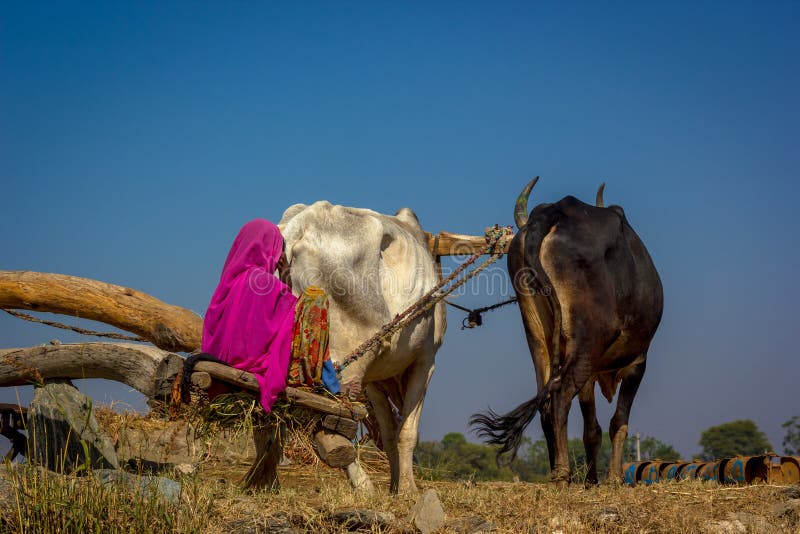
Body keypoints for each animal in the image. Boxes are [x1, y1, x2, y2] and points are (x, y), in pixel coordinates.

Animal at [278, 201, 446, 494]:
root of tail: (300, 227)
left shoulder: (375, 379)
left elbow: (389, 433)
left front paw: (395, 486)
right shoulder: (426, 360)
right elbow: (406, 431)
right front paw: (408, 489)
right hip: (348, 359)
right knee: (332, 419)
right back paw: (362, 482)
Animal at [470, 178, 663, 484]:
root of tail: (553, 211)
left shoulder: (590, 373)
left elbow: (592, 430)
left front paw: (592, 481)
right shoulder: (637, 361)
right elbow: (618, 423)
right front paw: (614, 479)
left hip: (539, 339)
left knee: (546, 400)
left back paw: (557, 470)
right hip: (588, 342)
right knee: (560, 396)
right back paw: (562, 473)